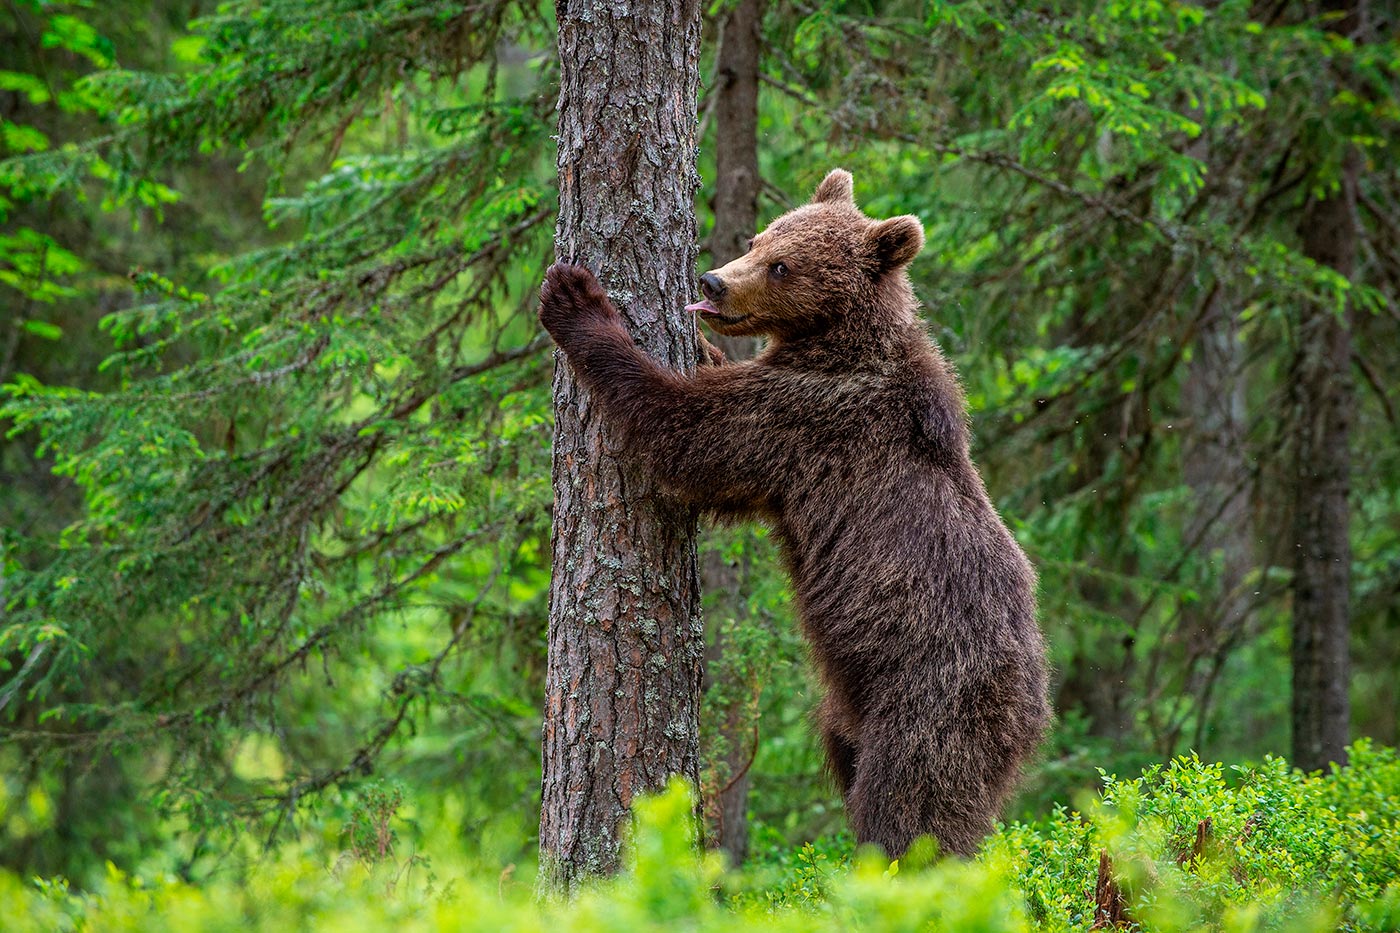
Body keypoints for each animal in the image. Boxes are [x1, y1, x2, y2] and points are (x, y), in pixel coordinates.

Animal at [537, 168, 1050, 859]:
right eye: (760, 239)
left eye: (783, 266)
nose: (713, 281)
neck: (830, 342)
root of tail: (1034, 707)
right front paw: (696, 344)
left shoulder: (808, 416)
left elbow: (689, 435)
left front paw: (576, 300)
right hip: (851, 707)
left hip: (931, 701)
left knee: (910, 810)